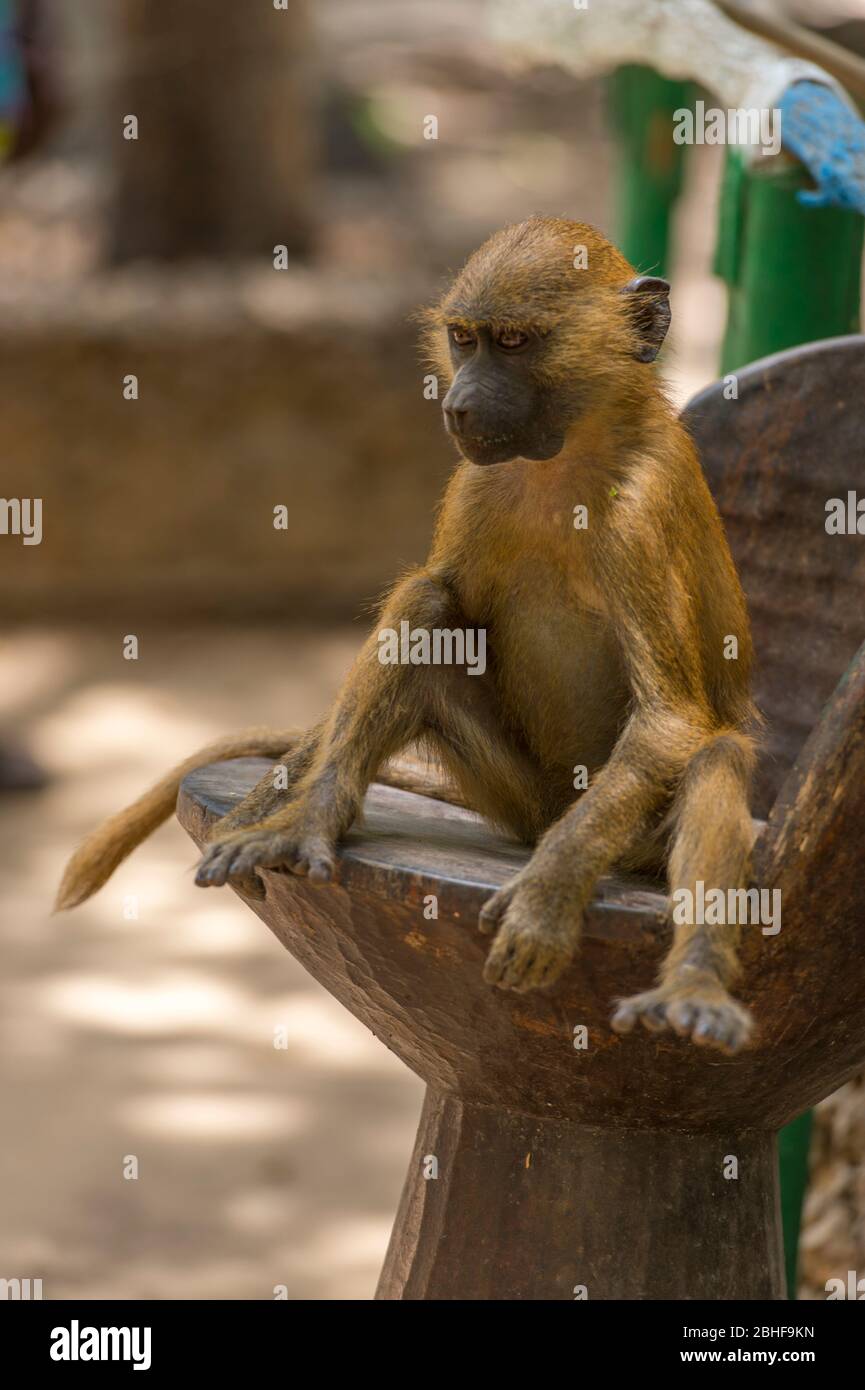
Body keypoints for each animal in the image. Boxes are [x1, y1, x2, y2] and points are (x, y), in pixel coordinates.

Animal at [57, 216, 758, 1055]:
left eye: (514, 342)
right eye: (463, 339)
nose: (457, 407)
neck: (565, 460)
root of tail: (540, 815)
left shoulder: (639, 507)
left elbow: (671, 721)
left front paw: (546, 899)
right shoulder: (473, 485)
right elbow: (430, 604)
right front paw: (275, 808)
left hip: (621, 835)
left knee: (712, 756)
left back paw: (692, 985)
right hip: (515, 790)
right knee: (426, 605)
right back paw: (314, 820)